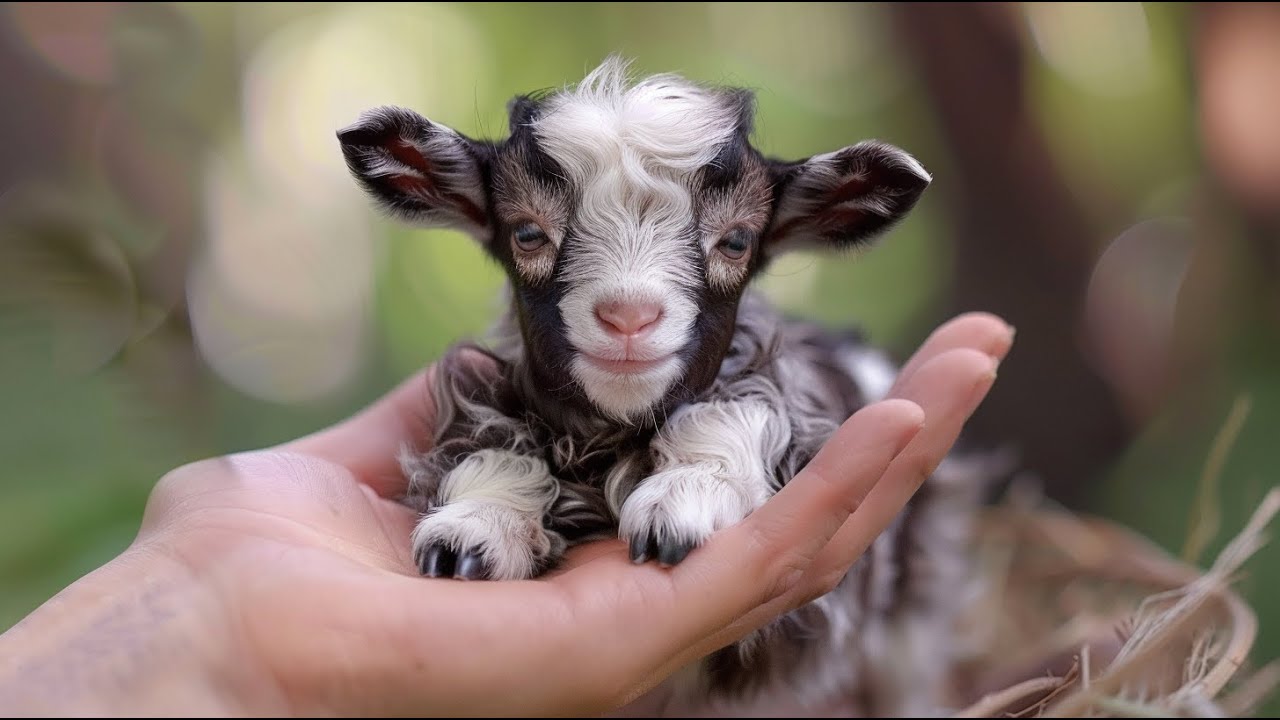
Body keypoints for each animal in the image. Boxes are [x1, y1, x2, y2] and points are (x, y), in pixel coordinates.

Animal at [338, 57, 991, 716]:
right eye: (527, 233)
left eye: (736, 240)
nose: (629, 315)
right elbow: (490, 450)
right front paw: (478, 526)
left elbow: (734, 418)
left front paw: (684, 497)